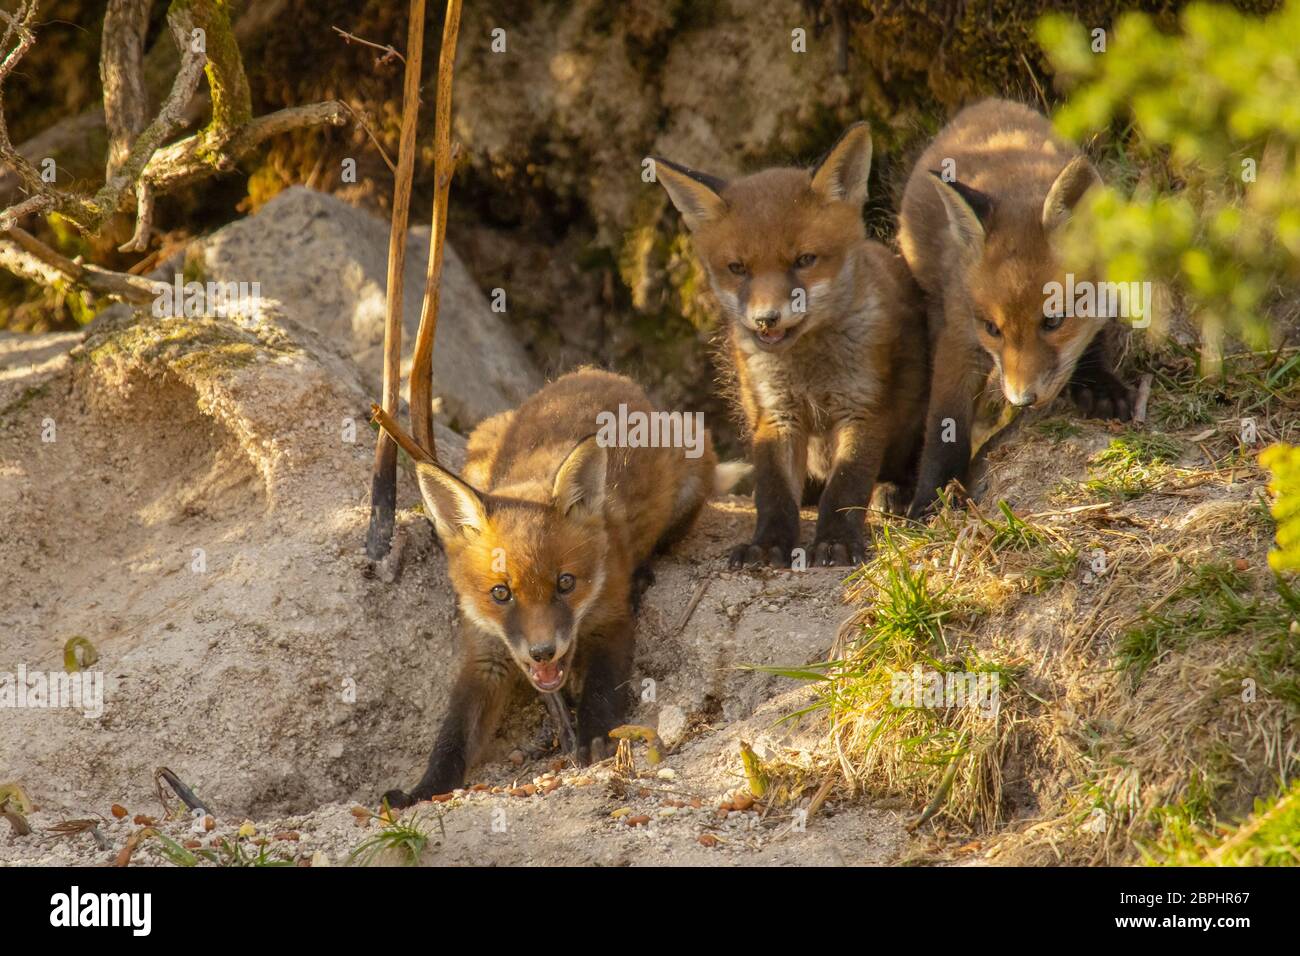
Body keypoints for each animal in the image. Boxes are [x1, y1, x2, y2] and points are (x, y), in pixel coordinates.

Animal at [383, 368, 724, 807]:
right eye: (501, 593)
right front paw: (423, 791)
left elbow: (602, 686)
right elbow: (453, 735)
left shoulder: (609, 616)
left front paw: (596, 739)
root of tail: (598, 372)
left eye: (565, 583)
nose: (543, 651)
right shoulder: (485, 650)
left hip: (691, 465)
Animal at [653, 123, 928, 568]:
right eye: (737, 268)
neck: (808, 370)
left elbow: (846, 487)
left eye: (804, 260)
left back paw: (897, 491)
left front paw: (835, 541)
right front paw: (768, 545)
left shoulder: (863, 408)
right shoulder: (775, 414)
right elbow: (774, 492)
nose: (766, 319)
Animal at [897, 98, 1134, 518]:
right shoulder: (960, 335)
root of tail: (986, 104)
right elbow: (944, 426)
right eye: (993, 329)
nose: (1023, 400)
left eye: (1054, 321)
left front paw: (1099, 382)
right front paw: (929, 499)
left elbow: (1091, 340)